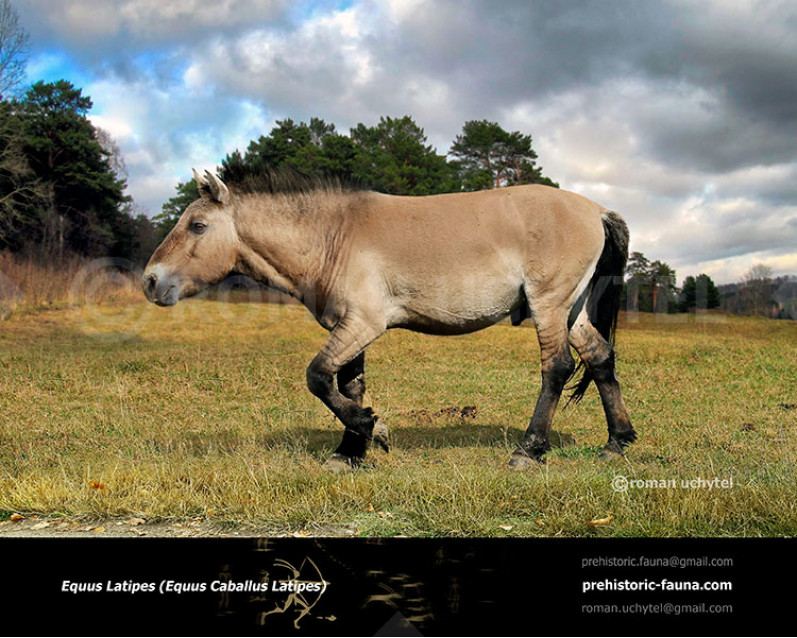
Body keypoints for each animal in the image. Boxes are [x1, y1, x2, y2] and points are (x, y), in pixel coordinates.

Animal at [142, 169, 636, 470]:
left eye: (198, 226)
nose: (149, 281)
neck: (332, 237)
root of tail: (596, 210)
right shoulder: (347, 328)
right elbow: (348, 385)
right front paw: (349, 451)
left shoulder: (364, 323)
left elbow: (318, 377)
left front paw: (372, 430)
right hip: (570, 312)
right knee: (600, 358)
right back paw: (618, 442)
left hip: (548, 305)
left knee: (557, 368)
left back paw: (529, 451)